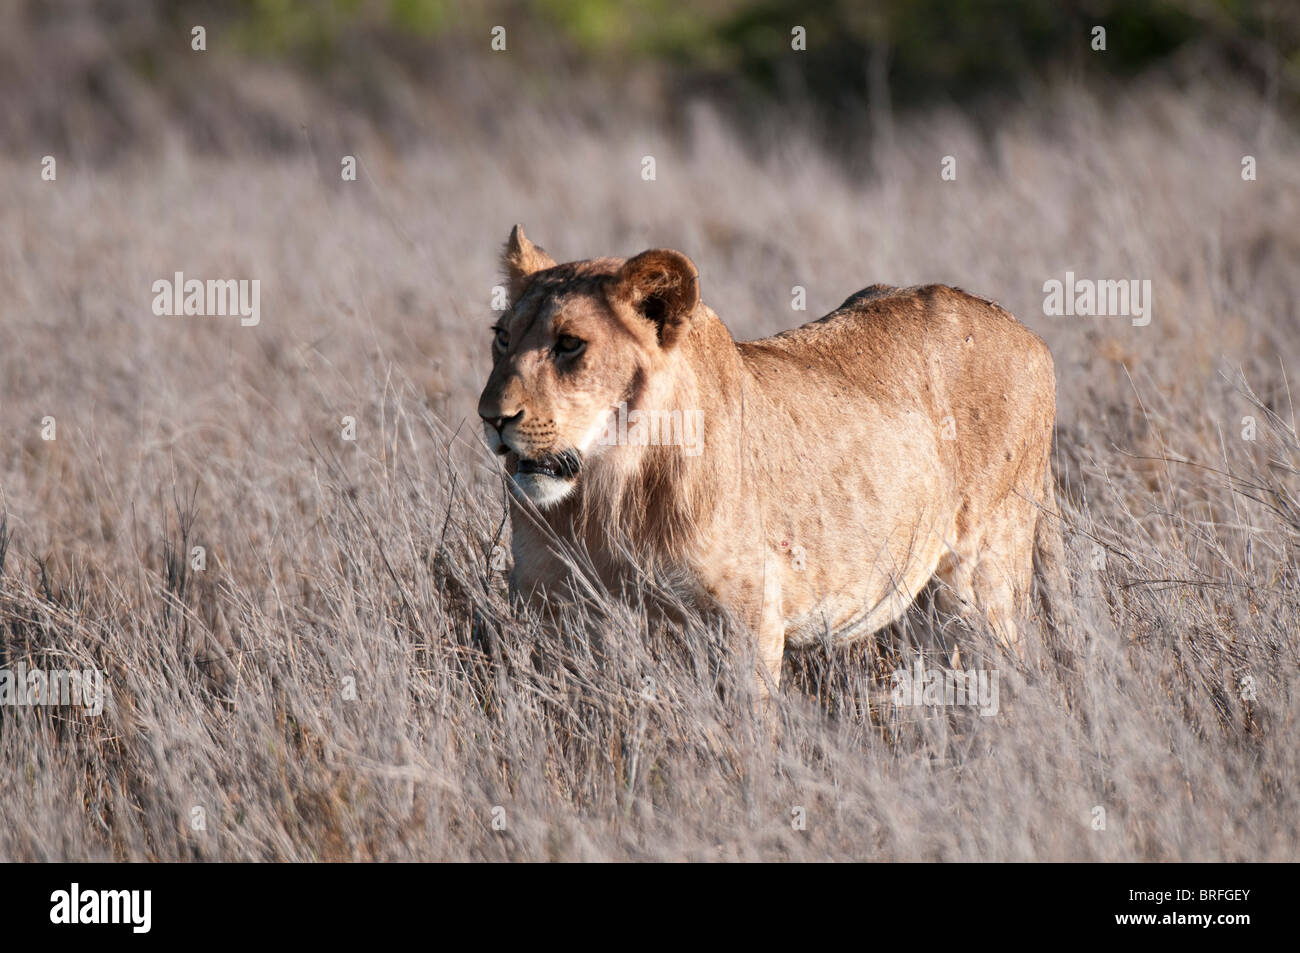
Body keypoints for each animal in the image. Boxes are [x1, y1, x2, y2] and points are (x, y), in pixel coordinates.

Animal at [478, 225, 1068, 692]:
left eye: (569, 344)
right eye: (501, 338)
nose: (491, 416)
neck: (605, 497)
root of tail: (1029, 334)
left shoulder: (749, 619)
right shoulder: (547, 613)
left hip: (981, 579)